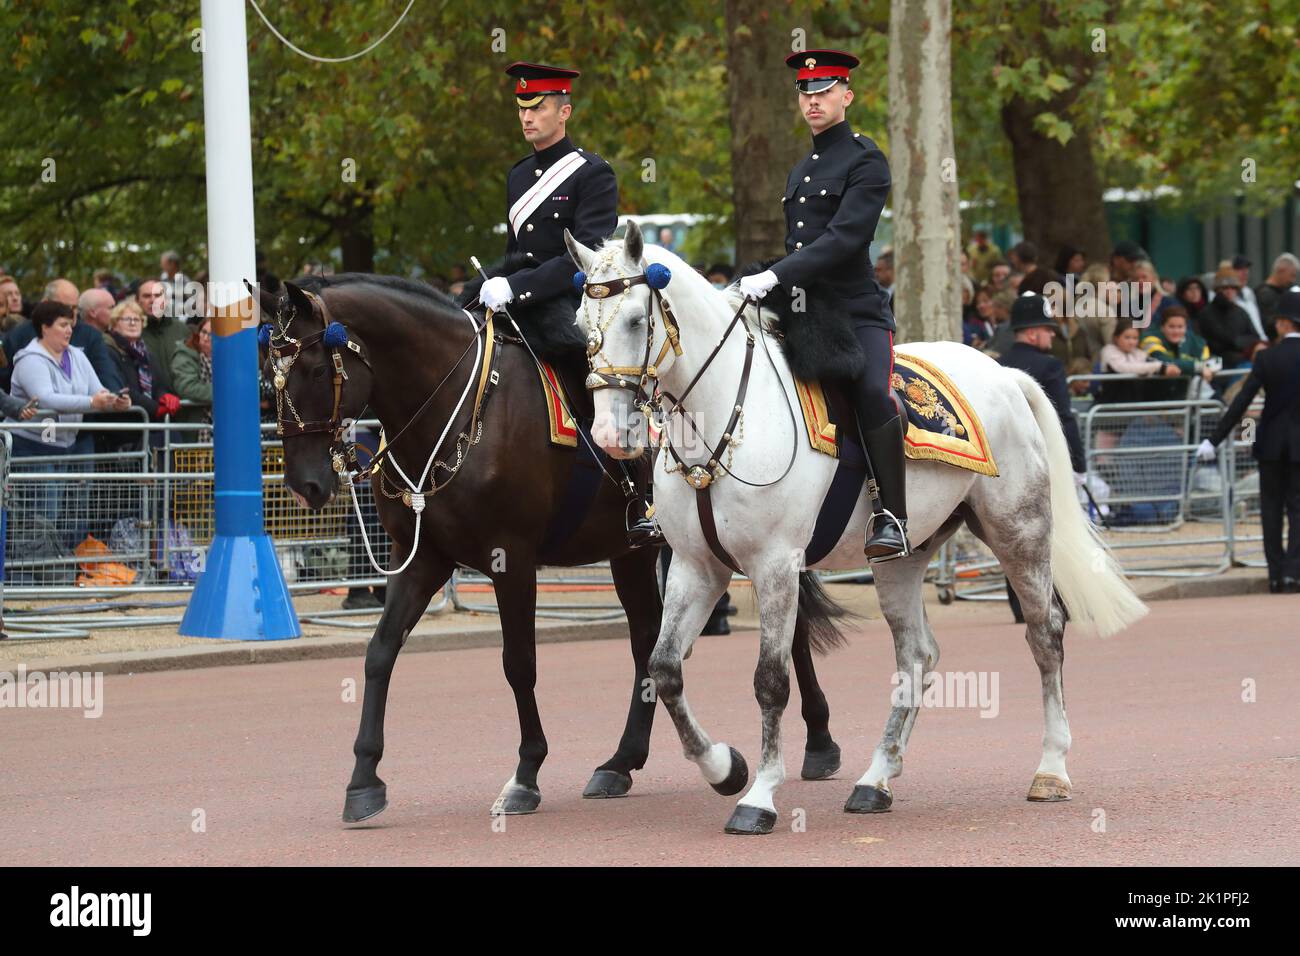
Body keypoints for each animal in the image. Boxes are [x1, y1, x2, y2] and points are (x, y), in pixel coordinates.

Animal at [258, 273, 845, 825]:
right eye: (267, 377)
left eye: (315, 370)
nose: (305, 485)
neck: (458, 408)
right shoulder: (423, 558)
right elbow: (380, 653)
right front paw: (363, 780)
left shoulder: (511, 559)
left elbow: (519, 663)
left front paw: (526, 773)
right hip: (637, 554)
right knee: (649, 644)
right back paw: (622, 762)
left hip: (739, 548)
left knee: (782, 634)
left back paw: (818, 744)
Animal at [563, 224, 1149, 834]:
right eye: (580, 324)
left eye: (636, 319)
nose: (608, 433)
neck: (722, 412)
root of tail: (1002, 372)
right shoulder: (695, 568)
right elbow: (664, 669)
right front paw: (724, 768)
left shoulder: (775, 565)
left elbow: (770, 680)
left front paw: (759, 796)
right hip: (902, 557)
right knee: (917, 655)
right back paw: (876, 779)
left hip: (1019, 532)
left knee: (1044, 633)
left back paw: (1051, 768)